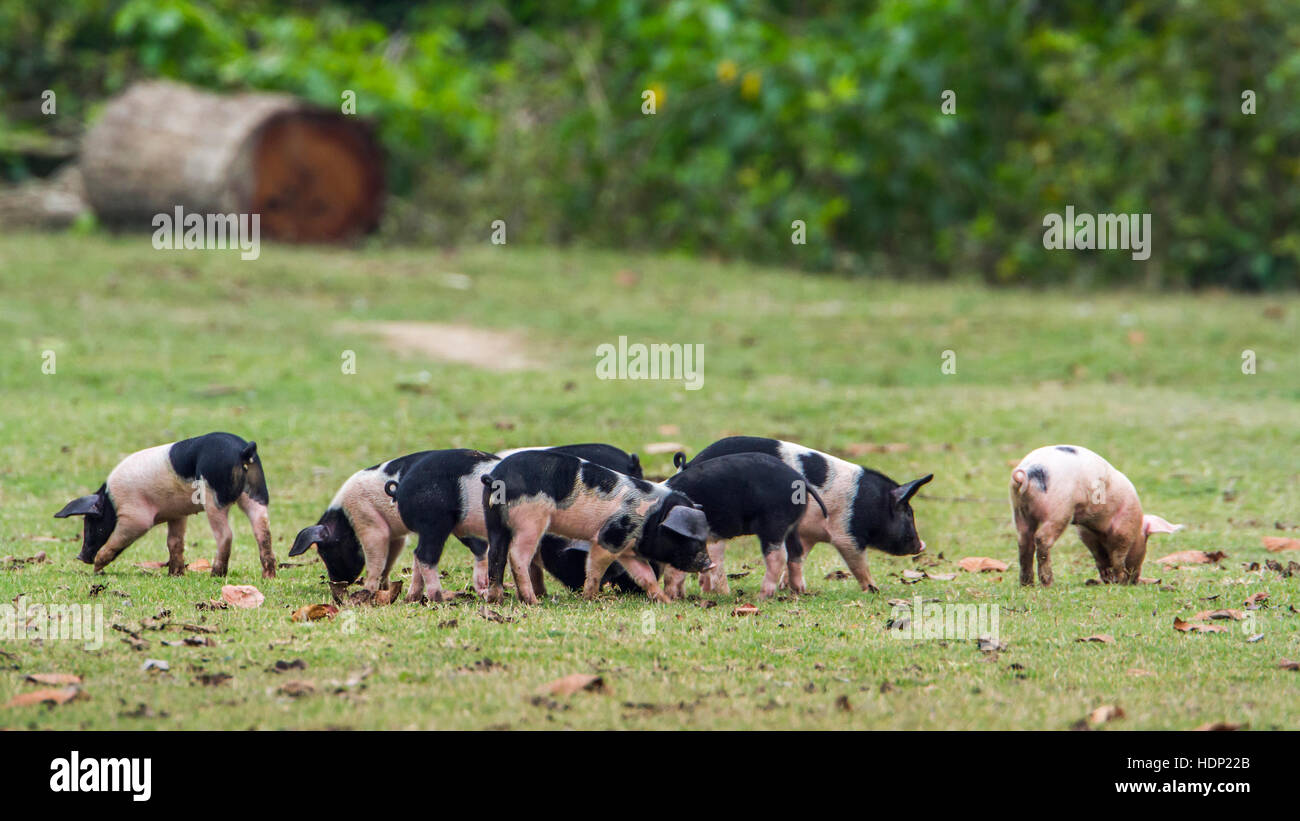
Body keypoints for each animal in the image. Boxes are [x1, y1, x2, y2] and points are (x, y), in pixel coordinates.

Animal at [53, 432, 275, 577]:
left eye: (92, 524)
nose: (81, 557)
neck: (111, 501)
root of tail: (243, 452)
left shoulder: (135, 517)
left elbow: (119, 540)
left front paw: (97, 567)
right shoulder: (177, 514)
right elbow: (174, 542)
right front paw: (175, 574)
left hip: (214, 498)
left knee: (226, 535)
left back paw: (215, 574)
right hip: (257, 494)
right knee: (263, 532)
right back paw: (268, 575)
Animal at [482, 450, 714, 604]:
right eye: (689, 539)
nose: (709, 564)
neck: (654, 517)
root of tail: (495, 478)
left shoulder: (628, 550)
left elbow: (645, 575)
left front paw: (665, 601)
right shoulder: (609, 537)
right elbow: (595, 566)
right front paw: (590, 597)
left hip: (493, 520)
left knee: (495, 555)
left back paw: (495, 599)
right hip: (530, 520)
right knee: (517, 556)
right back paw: (532, 601)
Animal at [661, 452, 828, 599]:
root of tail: (801, 481)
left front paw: (672, 596)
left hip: (773, 523)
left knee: (777, 557)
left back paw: (762, 597)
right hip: (792, 526)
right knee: (796, 552)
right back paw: (798, 590)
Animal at [674, 436, 932, 593]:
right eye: (908, 514)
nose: (922, 545)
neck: (871, 504)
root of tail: (689, 464)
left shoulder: (808, 533)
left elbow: (799, 556)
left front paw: (791, 588)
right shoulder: (846, 533)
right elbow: (858, 562)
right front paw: (874, 589)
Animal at [1010, 445, 1182, 586]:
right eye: (1145, 541)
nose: (1135, 580)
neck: (1100, 530)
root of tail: (1026, 474)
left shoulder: (1086, 531)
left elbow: (1099, 555)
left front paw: (1108, 579)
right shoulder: (1124, 528)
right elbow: (1118, 556)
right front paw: (1120, 581)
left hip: (1019, 509)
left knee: (1024, 541)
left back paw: (1027, 584)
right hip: (1058, 509)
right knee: (1041, 538)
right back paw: (1048, 583)